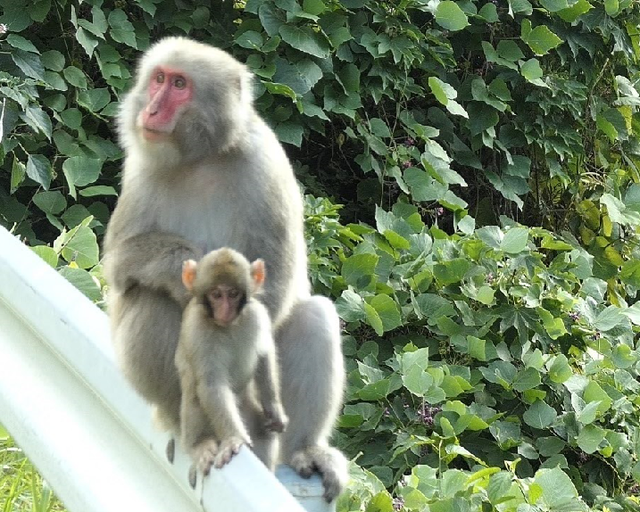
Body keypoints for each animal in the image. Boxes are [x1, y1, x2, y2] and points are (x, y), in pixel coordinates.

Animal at [175, 248, 288, 481]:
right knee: (195, 398)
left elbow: (264, 354)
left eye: (233, 293)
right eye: (216, 294)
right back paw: (201, 444)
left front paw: (274, 409)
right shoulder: (198, 330)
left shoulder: (257, 313)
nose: (225, 309)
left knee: (265, 436)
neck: (229, 325)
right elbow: (211, 384)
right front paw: (234, 438)